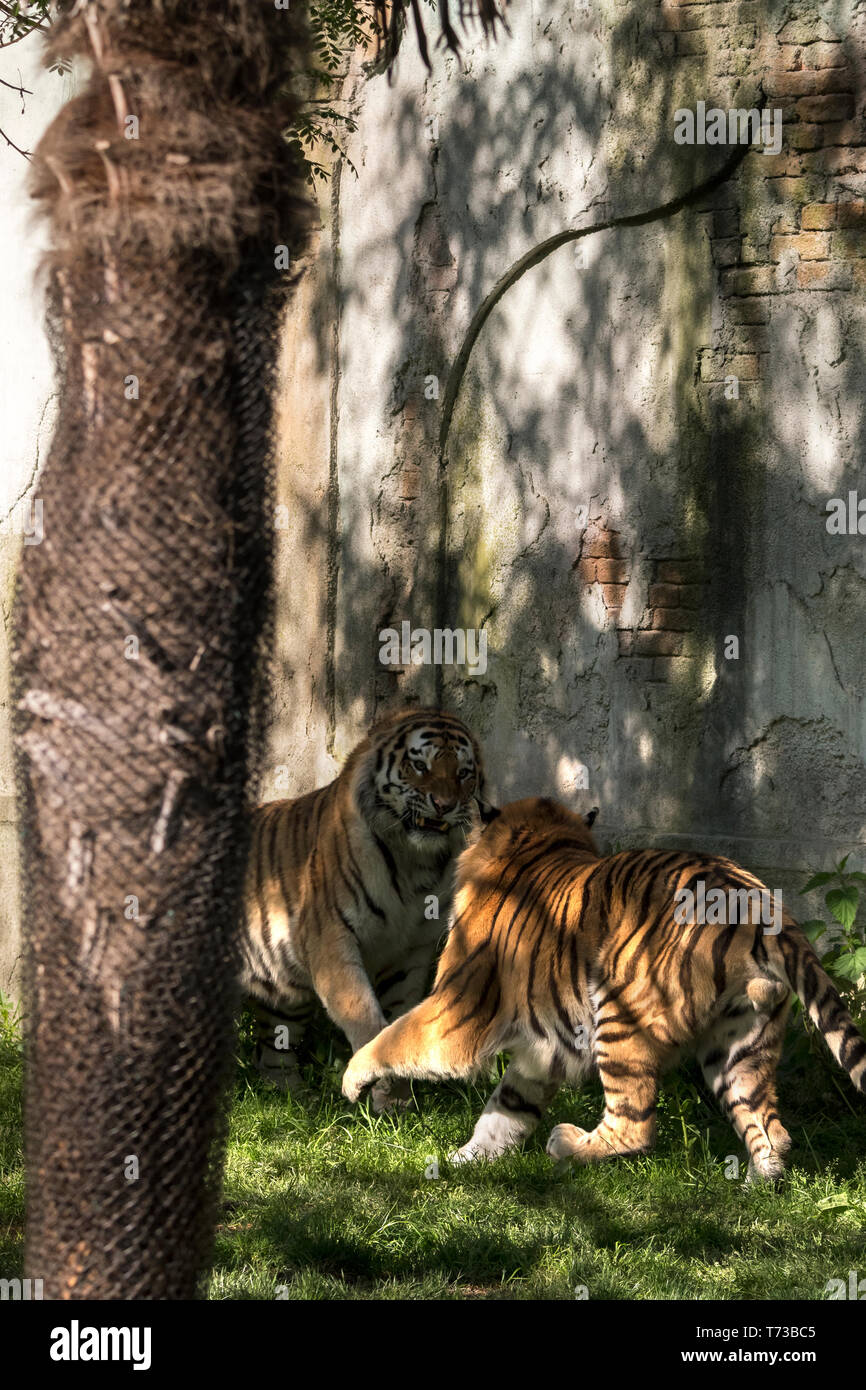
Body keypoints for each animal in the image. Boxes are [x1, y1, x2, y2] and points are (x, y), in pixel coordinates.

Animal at [241, 706, 489, 1111]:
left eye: (463, 773)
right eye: (419, 765)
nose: (444, 805)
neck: (414, 861)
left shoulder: (409, 952)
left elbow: (397, 1020)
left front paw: (397, 1104)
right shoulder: (331, 939)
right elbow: (362, 1012)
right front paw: (371, 1085)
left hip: (284, 994)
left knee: (271, 1055)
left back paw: (298, 1101)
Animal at [343, 795, 866, 1176]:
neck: (542, 843)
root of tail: (757, 903)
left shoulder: (459, 1009)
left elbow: (395, 1036)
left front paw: (353, 1079)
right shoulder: (542, 1045)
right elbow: (506, 1107)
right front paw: (466, 1160)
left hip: (620, 1016)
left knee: (635, 1129)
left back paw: (567, 1144)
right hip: (742, 1040)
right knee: (771, 1128)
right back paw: (756, 1181)